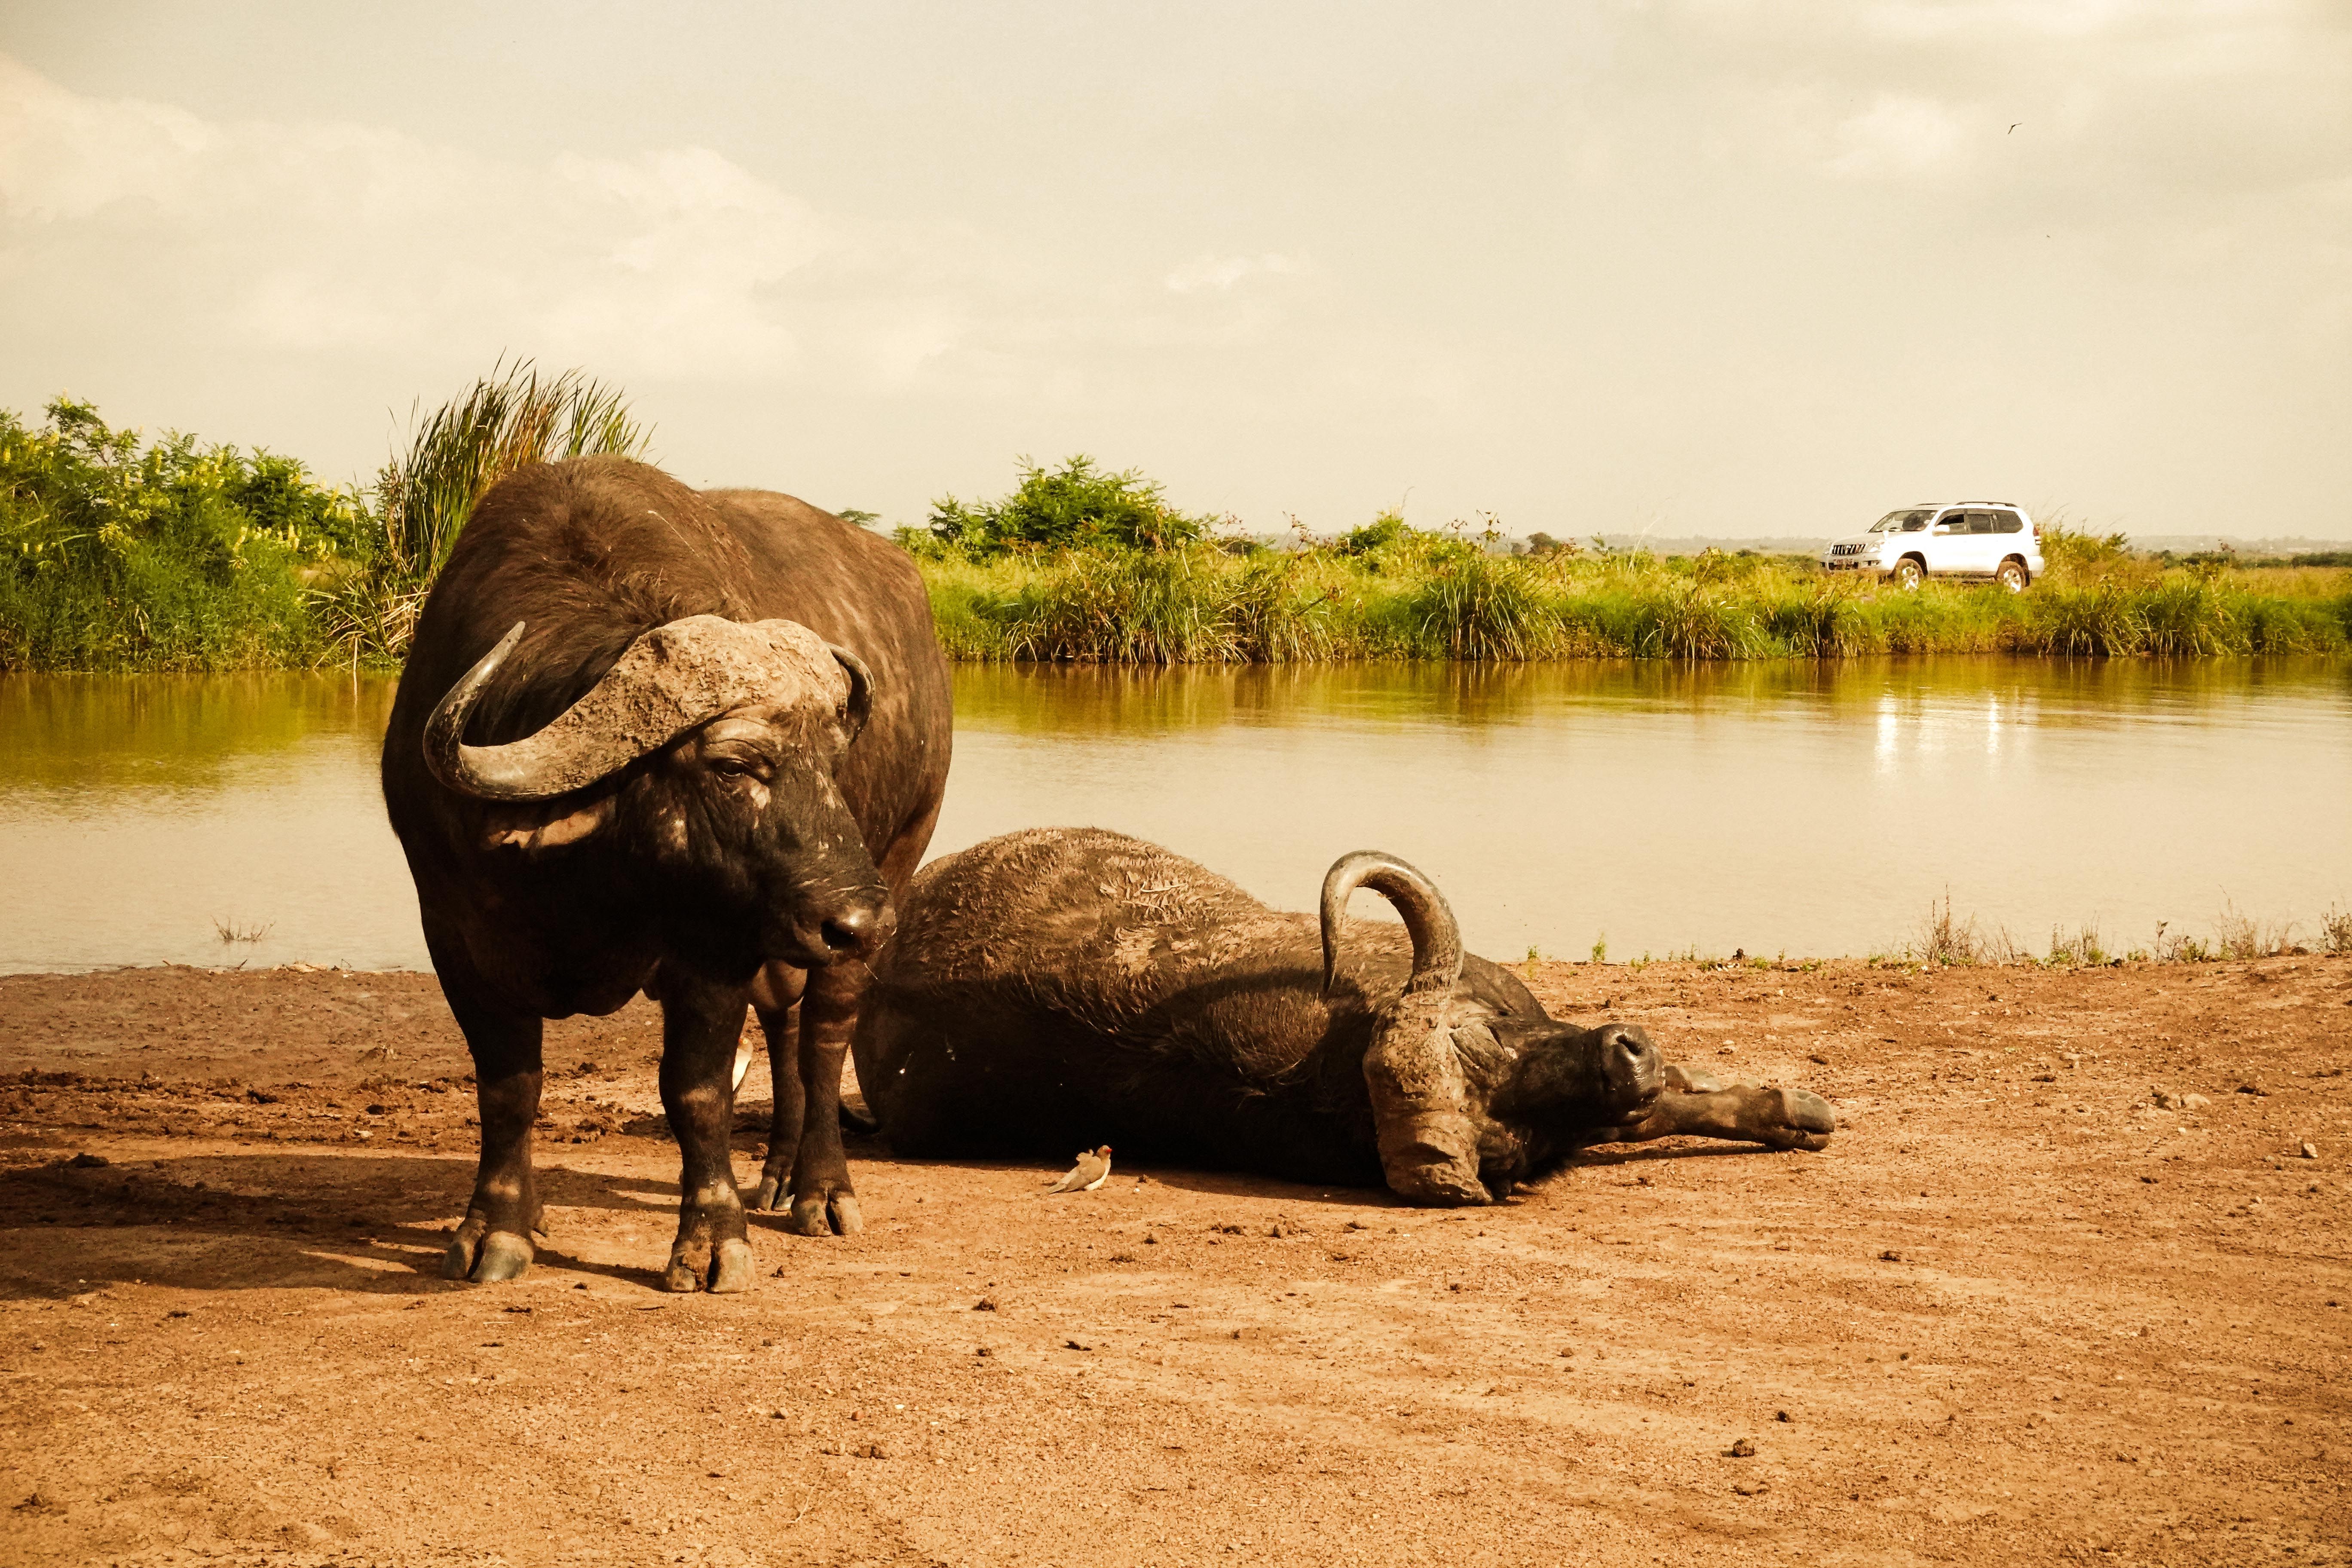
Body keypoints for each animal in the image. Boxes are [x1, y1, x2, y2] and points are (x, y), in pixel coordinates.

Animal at [382, 456, 950, 1289]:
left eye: (833, 762)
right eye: (734, 764)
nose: (862, 921)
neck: (589, 880)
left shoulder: (711, 947)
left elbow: (697, 1090)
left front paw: (714, 1240)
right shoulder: (454, 934)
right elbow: (508, 1087)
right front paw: (497, 1228)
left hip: (899, 851)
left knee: (823, 1035)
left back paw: (821, 1190)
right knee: (783, 1020)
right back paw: (776, 1175)